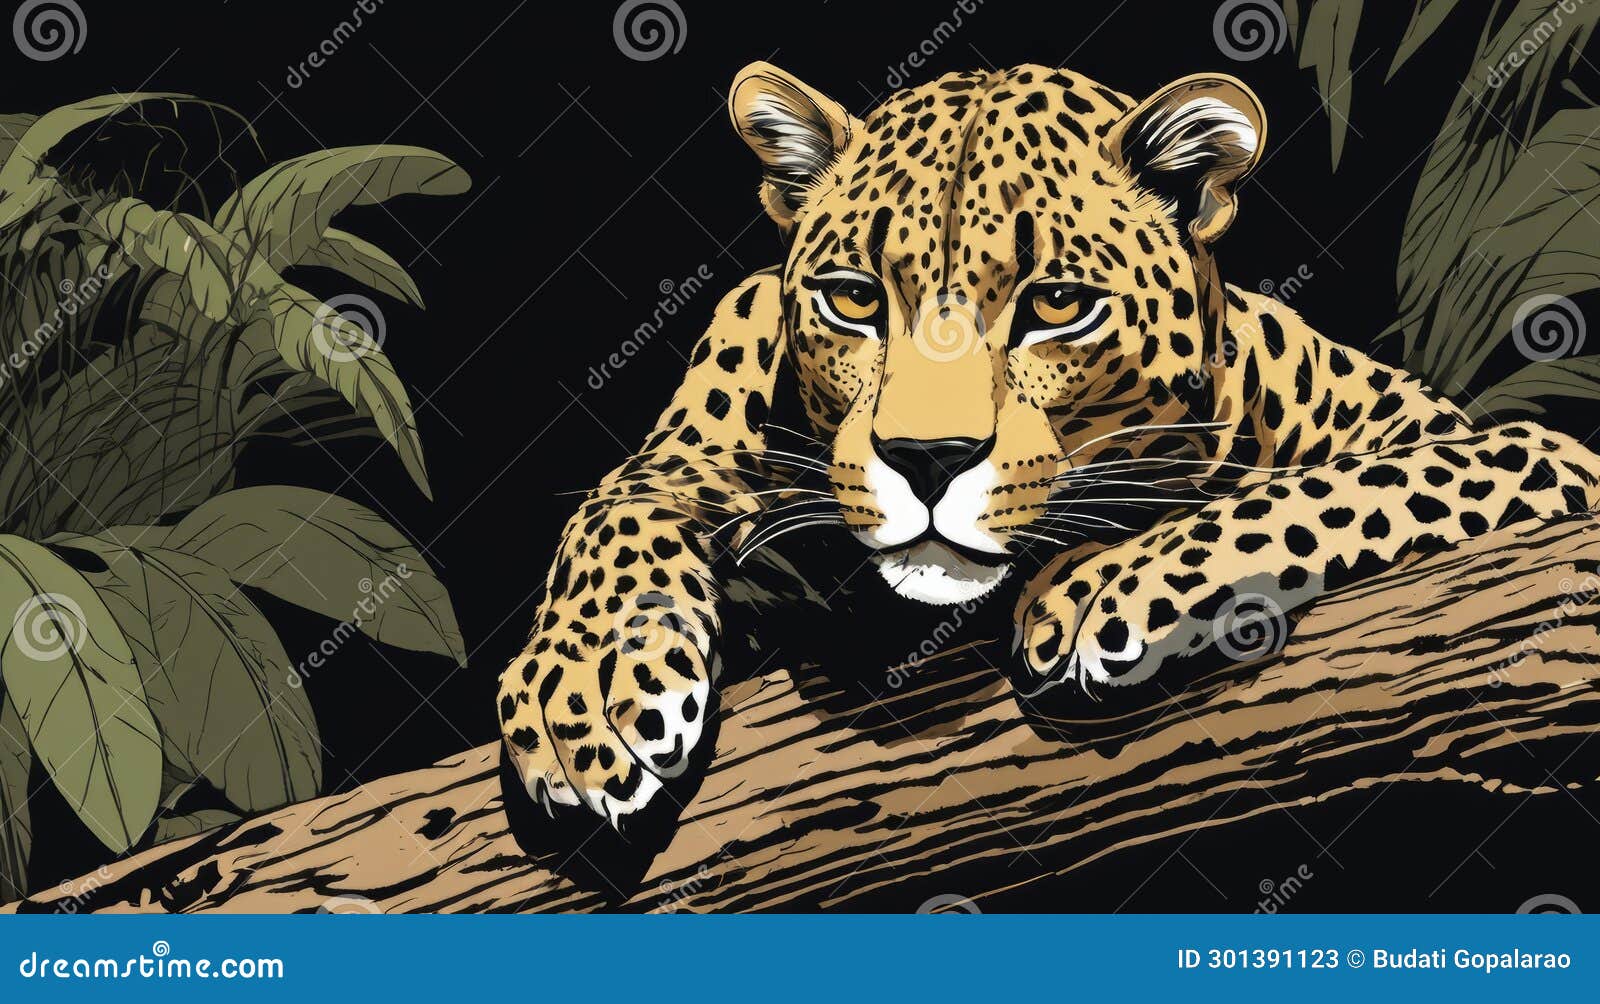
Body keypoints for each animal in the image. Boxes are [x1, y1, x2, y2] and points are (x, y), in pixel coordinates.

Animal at [497, 61, 1600, 825]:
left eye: (1057, 305)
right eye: (853, 298)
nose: (927, 457)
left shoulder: (1532, 457)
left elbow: (1337, 487)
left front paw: (1106, 582)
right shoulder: (728, 356)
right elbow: (627, 495)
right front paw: (583, 687)